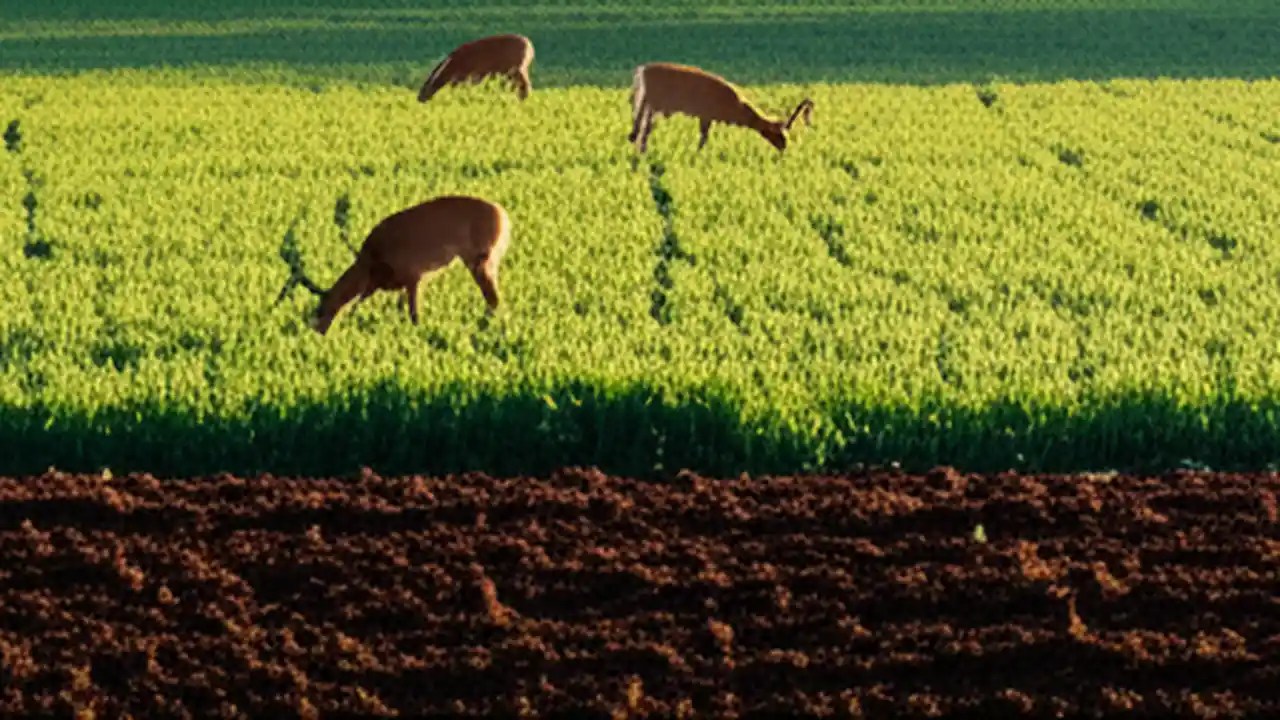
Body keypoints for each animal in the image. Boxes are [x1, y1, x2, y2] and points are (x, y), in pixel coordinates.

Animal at [275, 195, 512, 335]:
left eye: (321, 308)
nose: (318, 333)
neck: (370, 262)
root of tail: (503, 216)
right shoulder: (395, 285)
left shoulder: (414, 276)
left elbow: (414, 316)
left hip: (480, 260)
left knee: (493, 299)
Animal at [628, 62, 813, 153]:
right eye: (779, 133)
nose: (784, 148)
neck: (735, 107)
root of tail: (642, 70)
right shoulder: (706, 115)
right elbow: (703, 137)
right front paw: (697, 154)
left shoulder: (706, 117)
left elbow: (703, 137)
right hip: (651, 100)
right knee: (643, 122)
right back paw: (636, 141)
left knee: (643, 124)